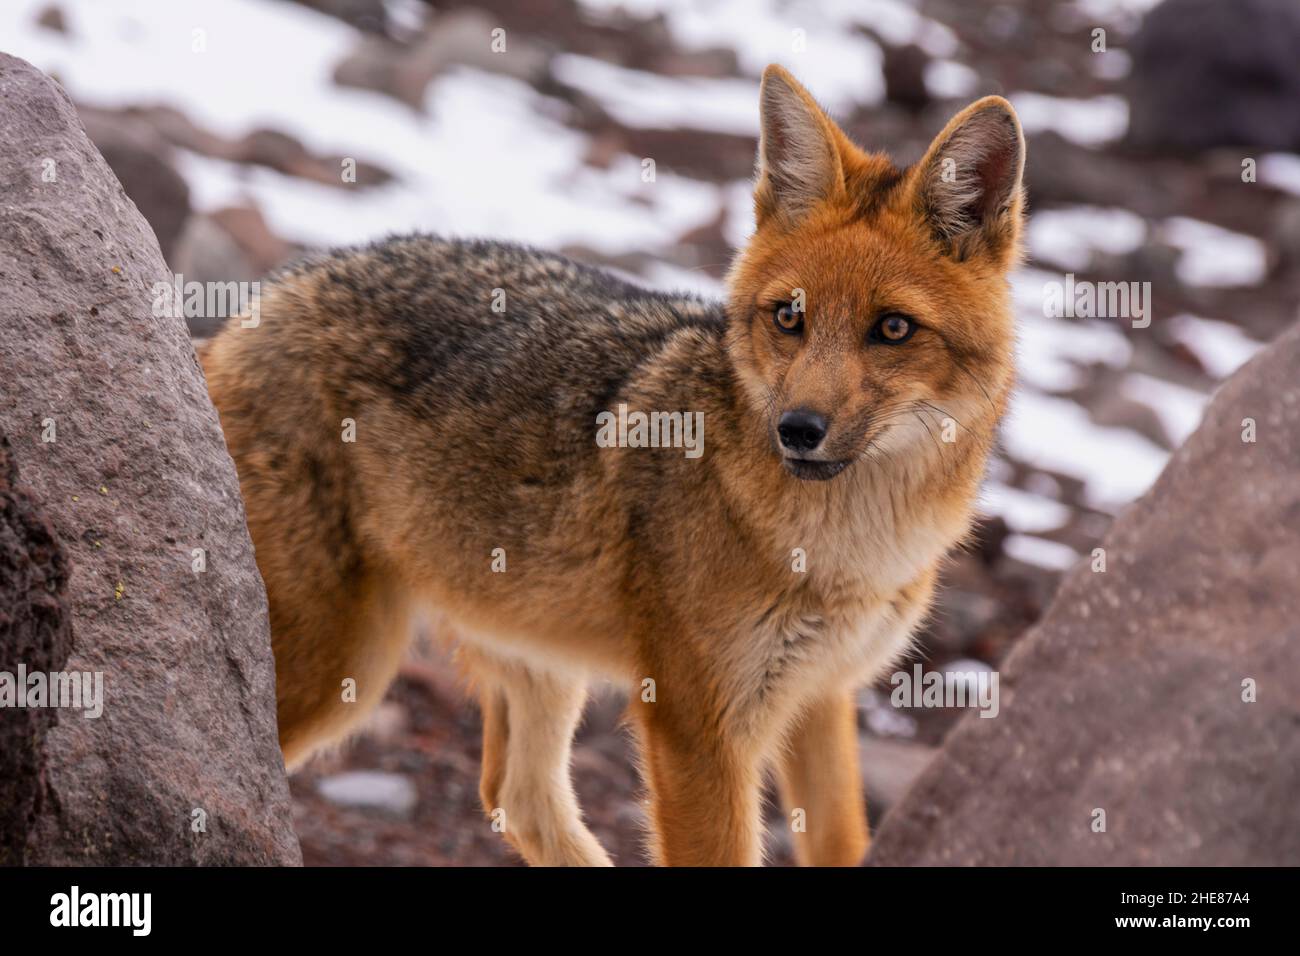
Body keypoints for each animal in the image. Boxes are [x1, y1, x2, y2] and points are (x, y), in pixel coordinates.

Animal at [199, 65, 1025, 866]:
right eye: (789, 317)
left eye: (893, 329)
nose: (797, 430)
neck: (852, 553)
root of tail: (253, 307)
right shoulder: (698, 729)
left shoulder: (822, 699)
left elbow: (841, 843)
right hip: (343, 669)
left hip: (530, 665)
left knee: (514, 800)